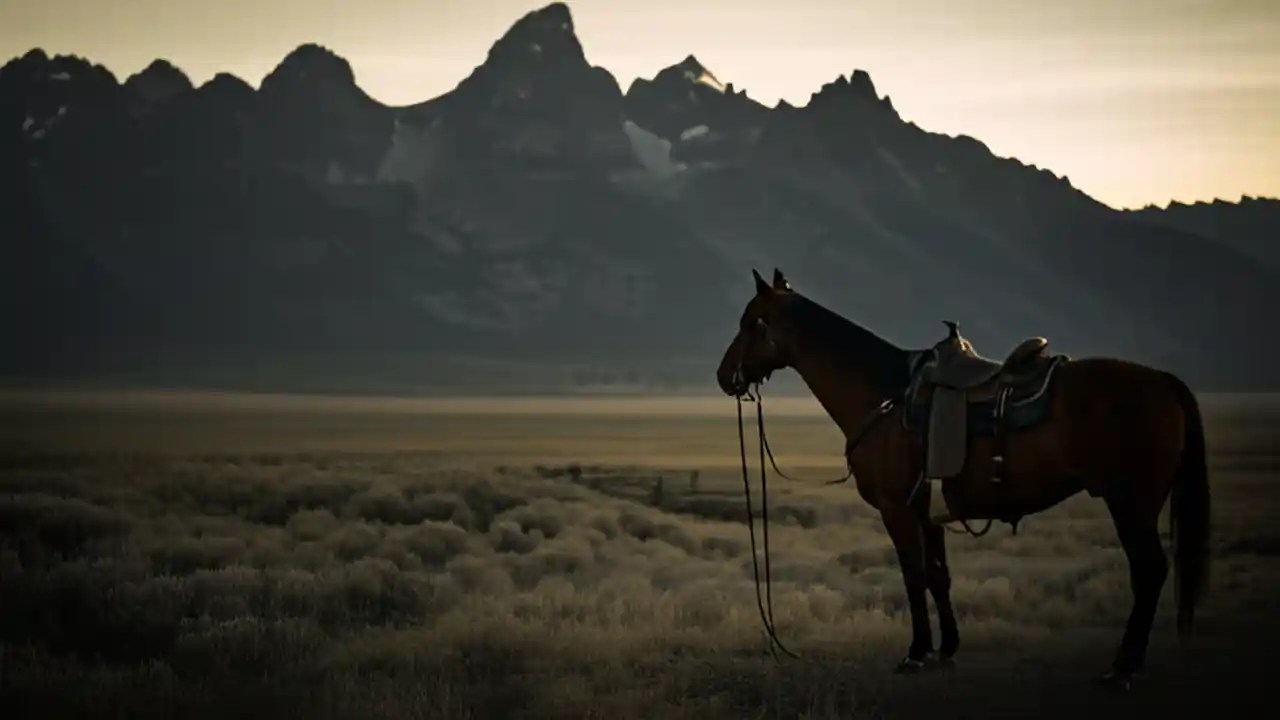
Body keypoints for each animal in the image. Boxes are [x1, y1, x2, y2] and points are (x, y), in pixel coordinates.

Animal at [715, 268, 1210, 688]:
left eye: (750, 323)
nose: (723, 376)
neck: (885, 394)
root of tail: (1164, 381)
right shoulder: (926, 511)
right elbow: (939, 576)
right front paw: (946, 648)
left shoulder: (896, 510)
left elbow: (913, 576)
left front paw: (915, 653)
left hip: (1131, 503)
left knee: (1149, 570)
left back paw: (1123, 667)